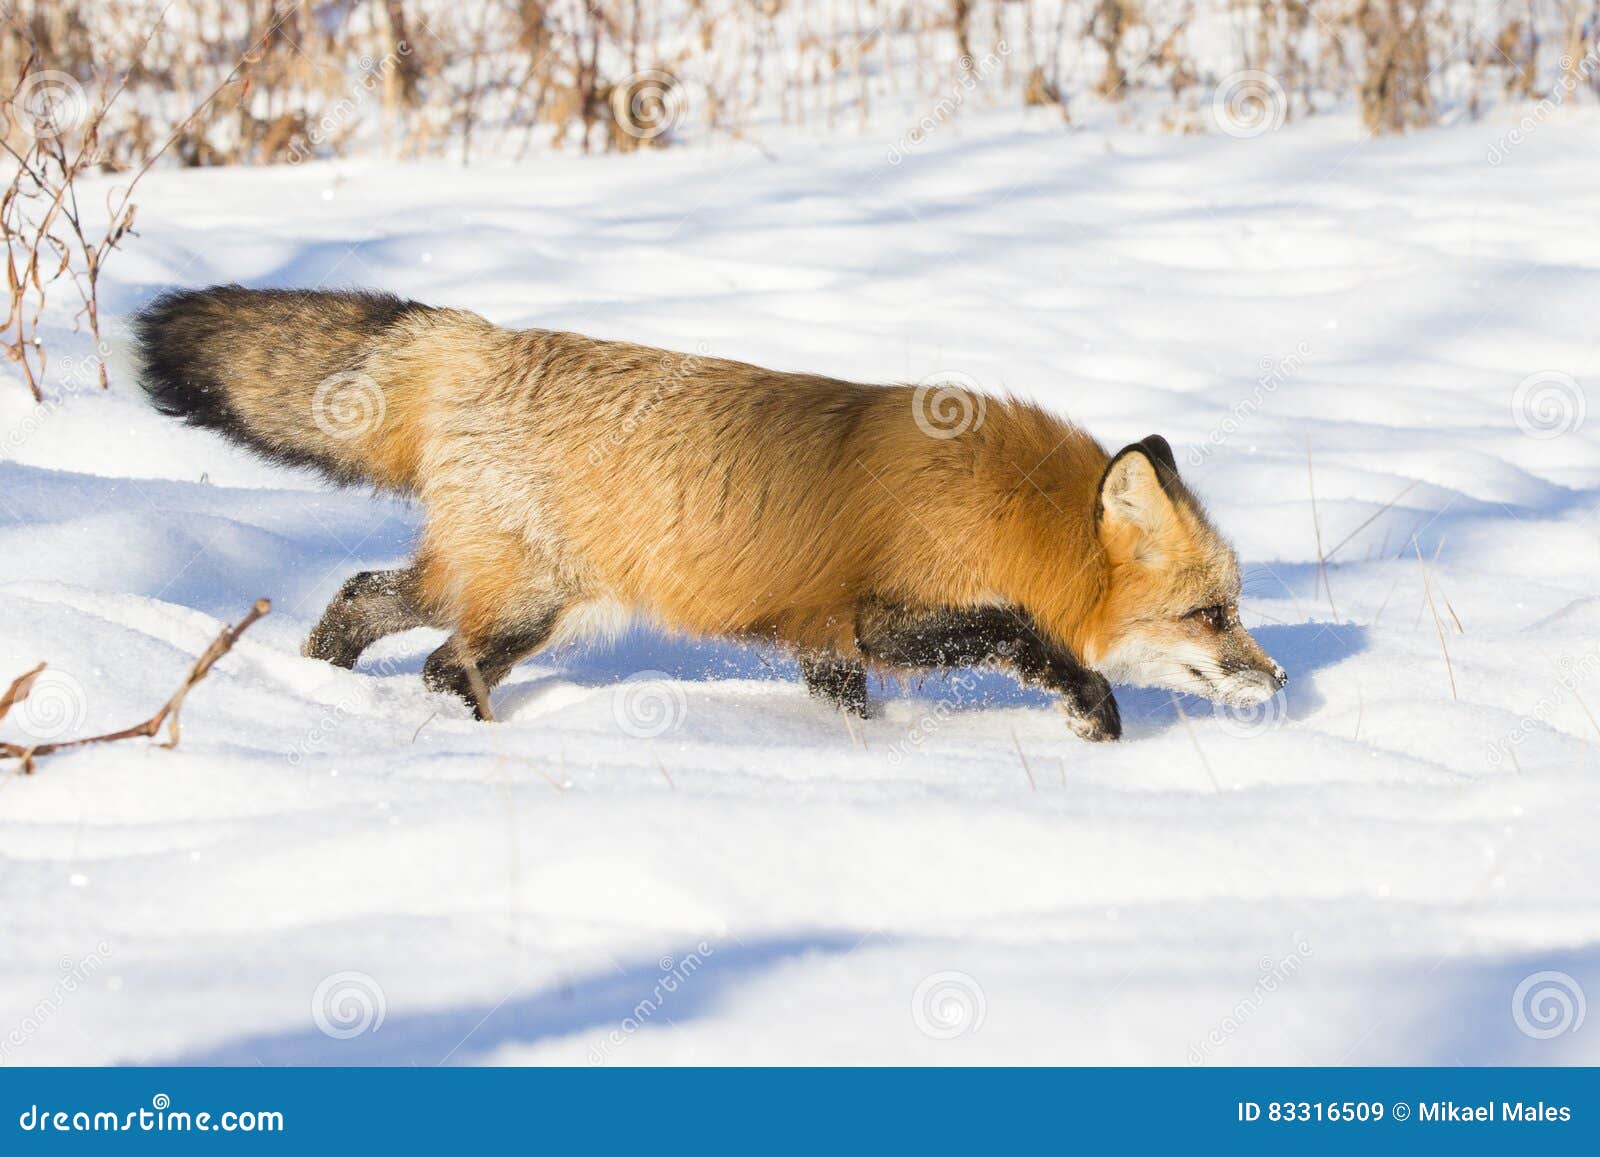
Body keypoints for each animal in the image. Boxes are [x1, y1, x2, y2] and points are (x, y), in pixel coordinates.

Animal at [133, 285, 1285, 740]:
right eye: (1214, 616)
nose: (1277, 680)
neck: (1010, 510)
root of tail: (485, 340)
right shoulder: (882, 614)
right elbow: (1027, 640)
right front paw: (1094, 715)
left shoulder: (826, 642)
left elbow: (849, 710)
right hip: (531, 604)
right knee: (440, 663)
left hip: (508, 589)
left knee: (364, 598)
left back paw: (314, 686)